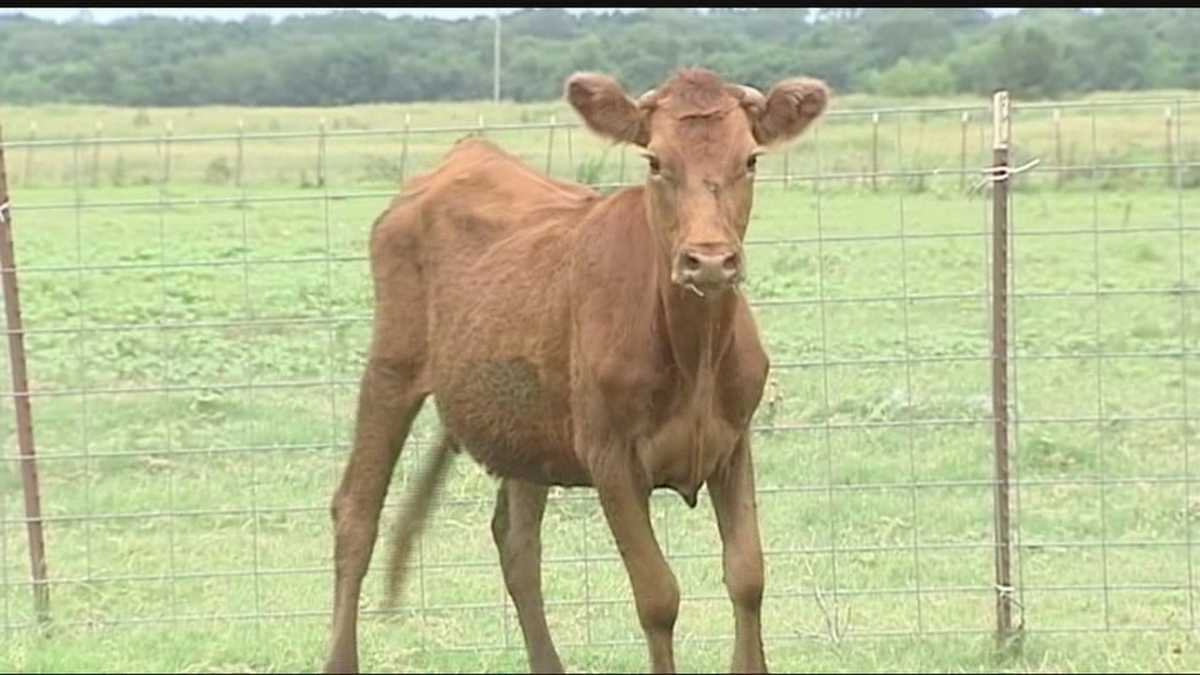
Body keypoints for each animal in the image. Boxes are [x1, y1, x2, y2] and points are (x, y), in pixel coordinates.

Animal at [324, 67, 829, 674]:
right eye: (655, 161)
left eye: (750, 158)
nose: (708, 260)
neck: (695, 355)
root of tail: (463, 156)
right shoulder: (610, 456)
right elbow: (658, 595)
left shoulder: (732, 444)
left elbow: (748, 576)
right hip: (391, 368)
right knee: (356, 513)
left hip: (523, 423)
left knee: (516, 544)